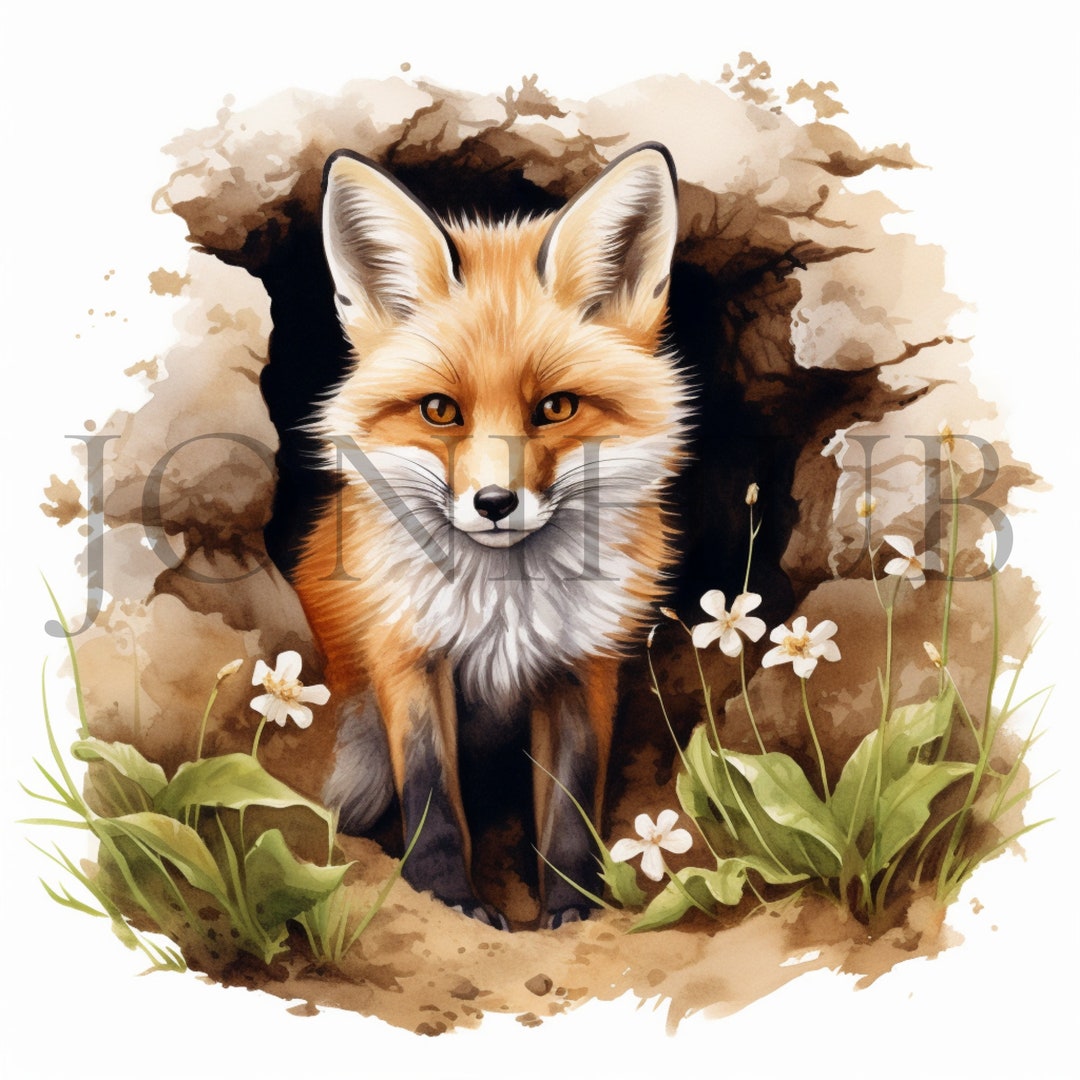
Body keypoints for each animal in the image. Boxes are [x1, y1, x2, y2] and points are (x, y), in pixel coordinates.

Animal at [291, 142, 689, 929]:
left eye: (556, 408)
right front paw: (449, 902)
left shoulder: (582, 665)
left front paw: (571, 911)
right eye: (440, 410)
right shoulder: (406, 653)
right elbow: (432, 804)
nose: (496, 503)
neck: (505, 605)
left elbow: (570, 809)